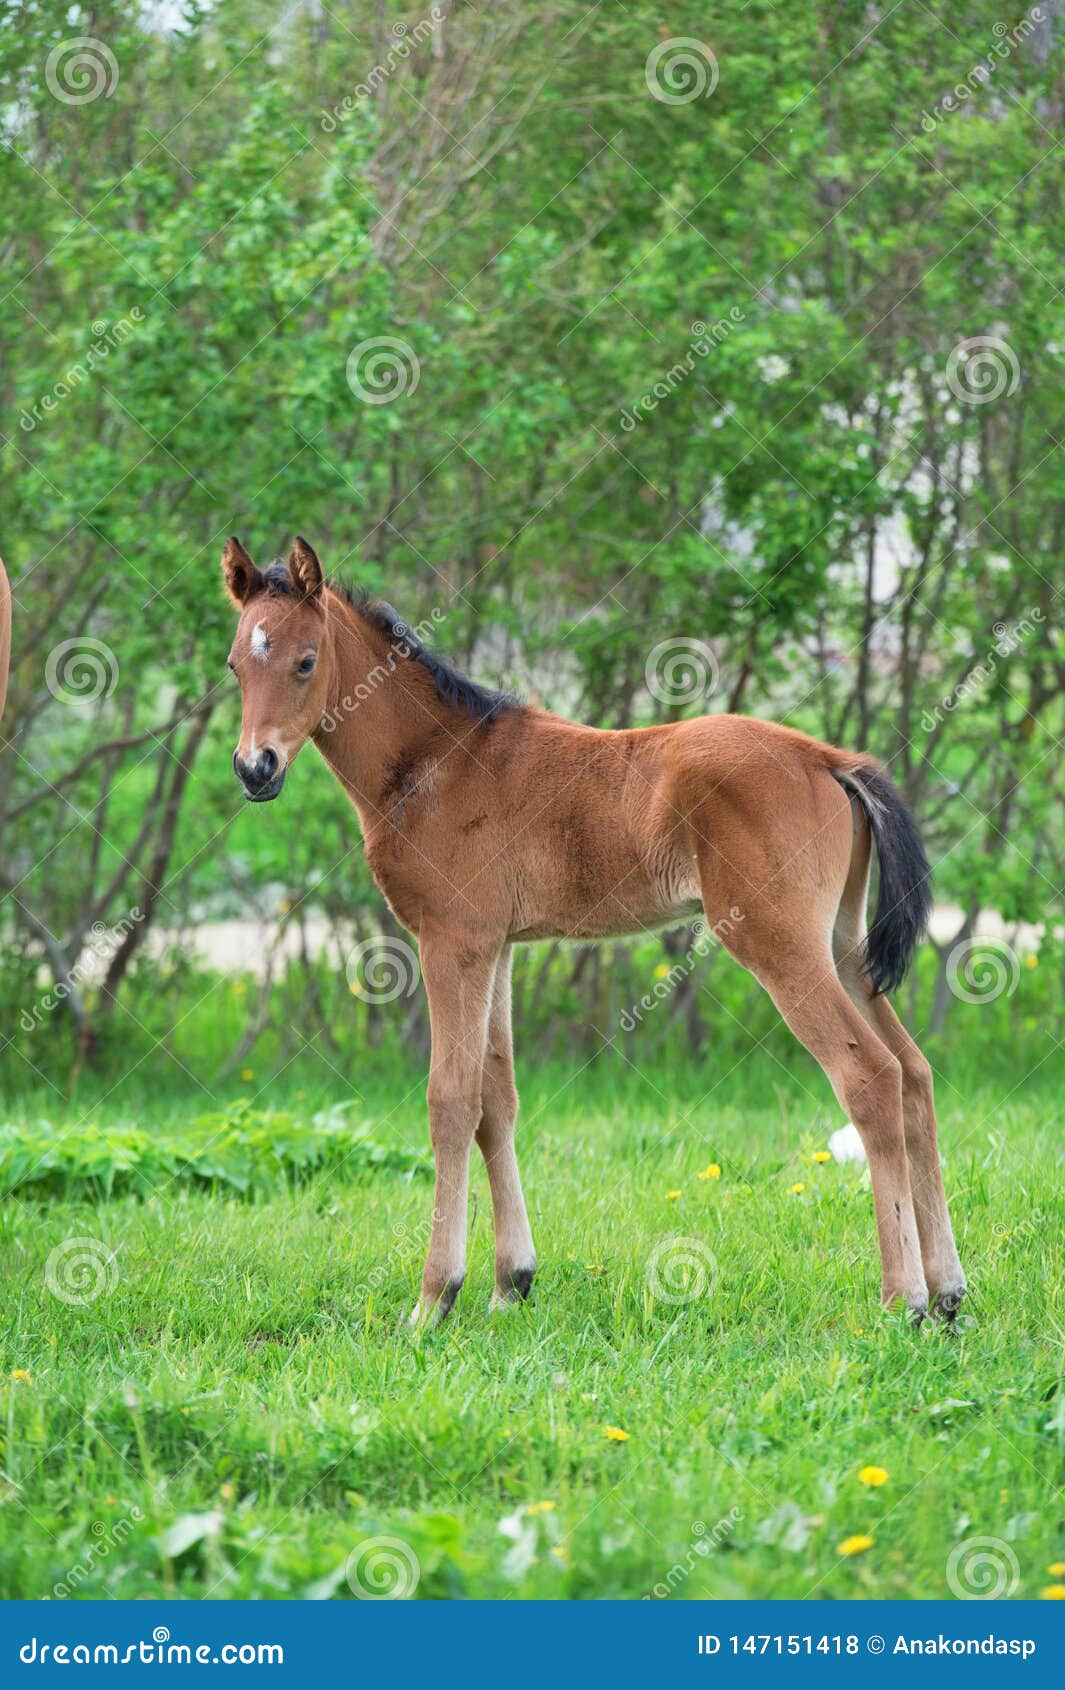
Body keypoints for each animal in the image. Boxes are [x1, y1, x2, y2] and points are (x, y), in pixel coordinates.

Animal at [221, 535, 965, 1328]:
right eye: (236, 664)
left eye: (305, 661)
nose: (255, 769)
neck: (432, 762)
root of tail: (829, 760)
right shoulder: (497, 948)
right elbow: (497, 1101)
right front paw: (509, 1285)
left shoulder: (451, 942)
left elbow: (450, 1101)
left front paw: (433, 1299)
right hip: (842, 948)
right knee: (915, 1074)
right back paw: (948, 1294)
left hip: (778, 944)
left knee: (870, 1077)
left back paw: (903, 1299)